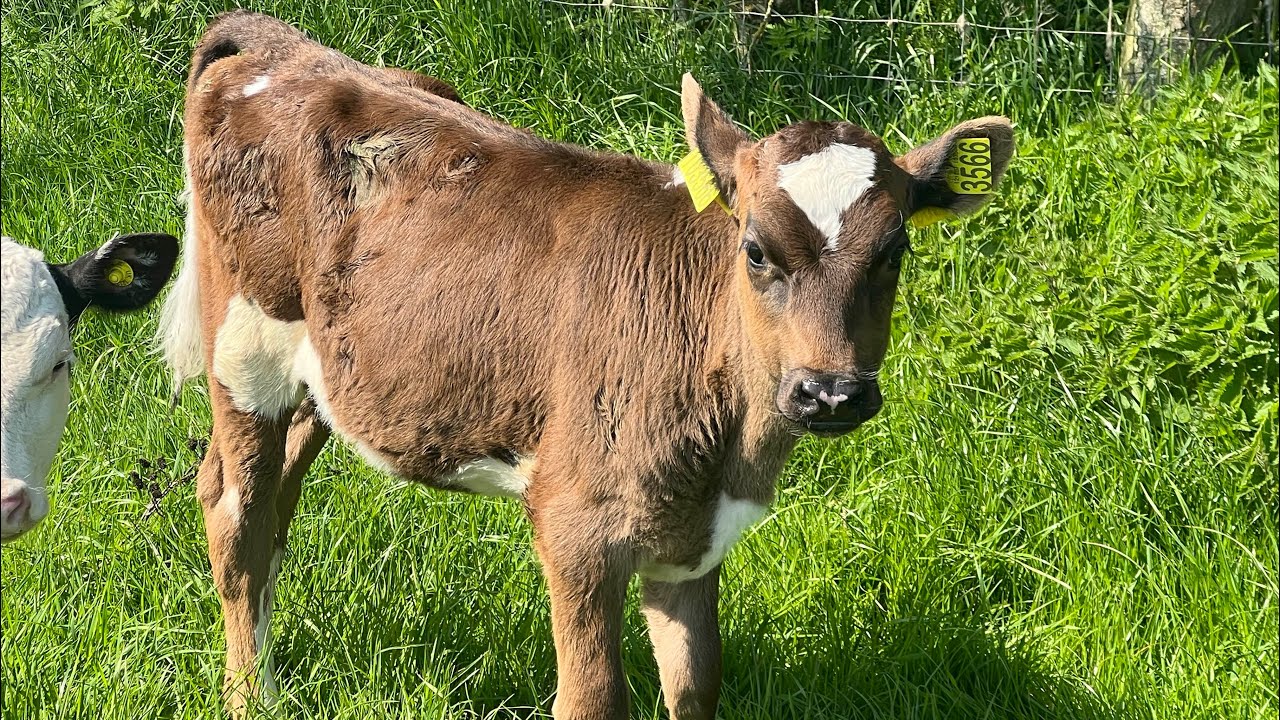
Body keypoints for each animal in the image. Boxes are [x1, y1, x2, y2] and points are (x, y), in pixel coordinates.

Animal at [159, 11, 1014, 719]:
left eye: (894, 250)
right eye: (756, 249)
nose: (830, 393)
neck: (729, 445)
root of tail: (283, 46)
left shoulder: (693, 537)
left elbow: (695, 683)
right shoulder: (577, 525)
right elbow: (593, 700)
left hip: (323, 374)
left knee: (267, 501)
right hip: (244, 347)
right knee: (237, 519)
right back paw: (251, 697)